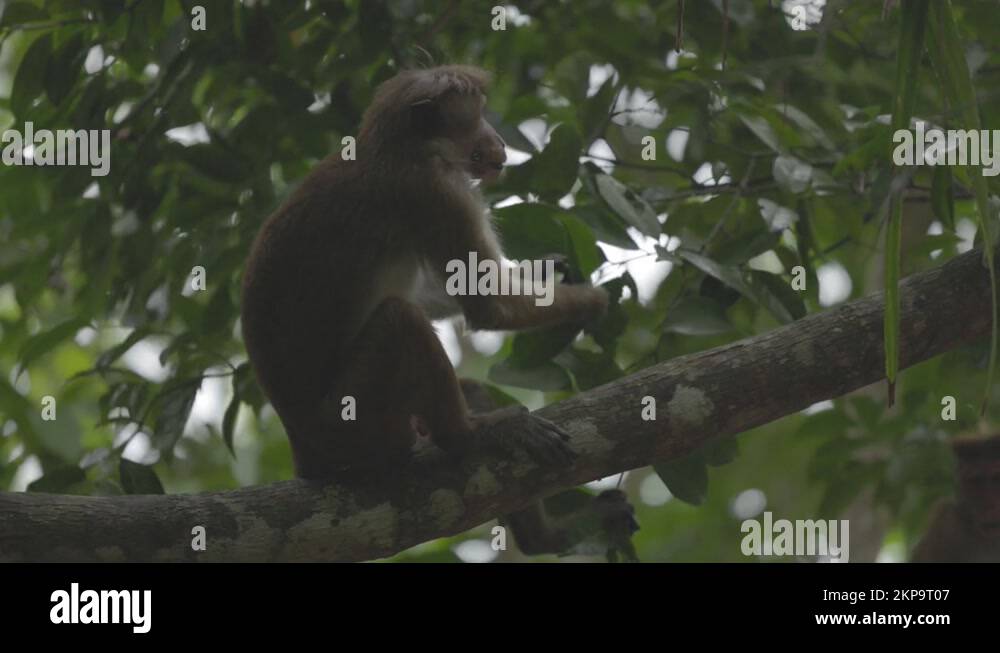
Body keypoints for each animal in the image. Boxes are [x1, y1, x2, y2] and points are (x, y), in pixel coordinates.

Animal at [240, 65, 609, 480]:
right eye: (477, 115)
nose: (498, 139)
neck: (399, 147)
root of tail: (303, 452)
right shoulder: (439, 192)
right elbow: (489, 306)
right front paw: (595, 301)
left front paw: (542, 269)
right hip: (350, 422)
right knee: (402, 319)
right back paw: (468, 435)